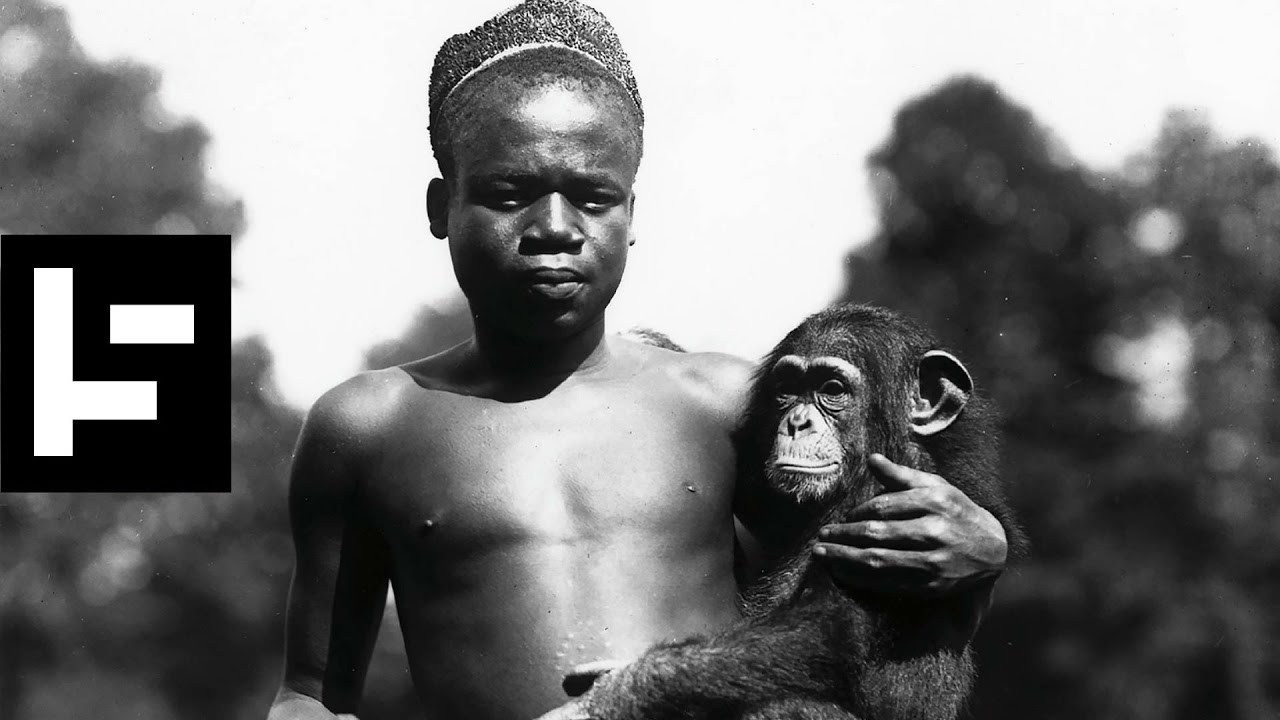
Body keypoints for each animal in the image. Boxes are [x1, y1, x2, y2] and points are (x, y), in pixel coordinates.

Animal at [551, 303, 1024, 720]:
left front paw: (607, 697)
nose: (797, 422)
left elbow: (824, 628)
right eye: (788, 390)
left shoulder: (894, 497)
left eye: (832, 390)